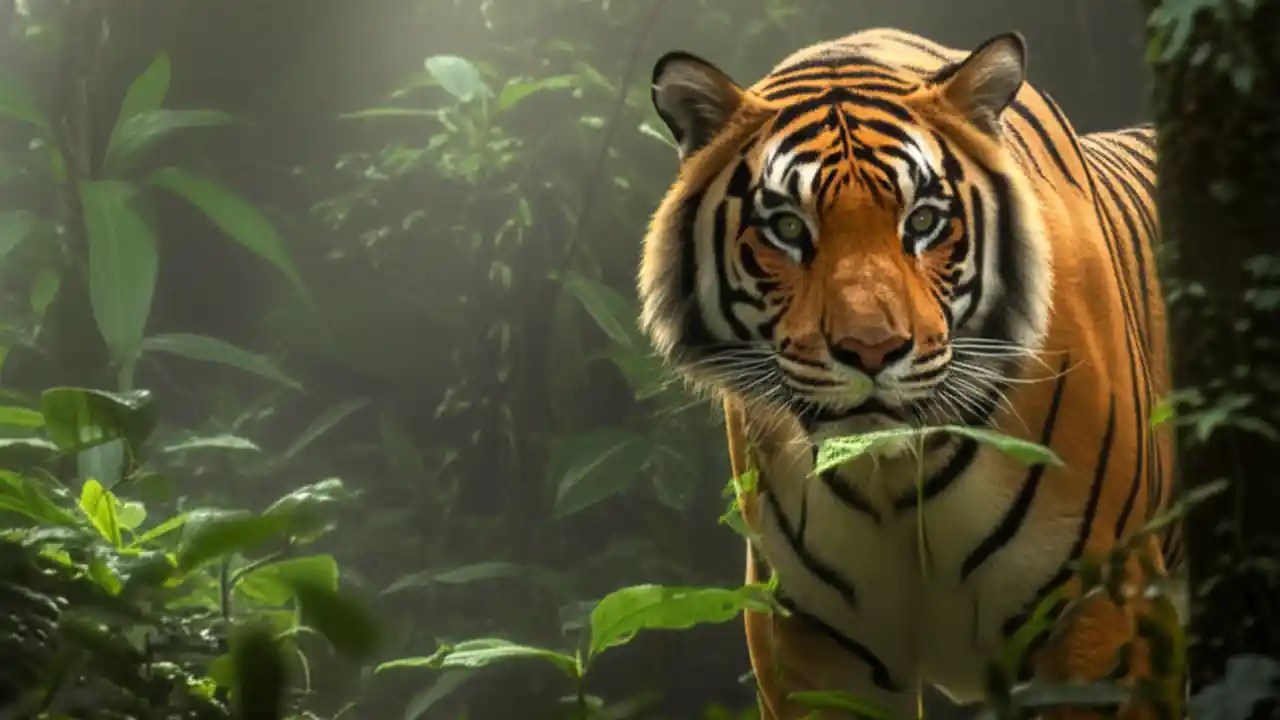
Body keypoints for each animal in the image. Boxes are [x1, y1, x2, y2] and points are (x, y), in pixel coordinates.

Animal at [638, 27, 1179, 720]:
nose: (872, 350)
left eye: (923, 221)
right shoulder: (810, 642)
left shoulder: (1105, 609)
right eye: (786, 227)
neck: (895, 480)